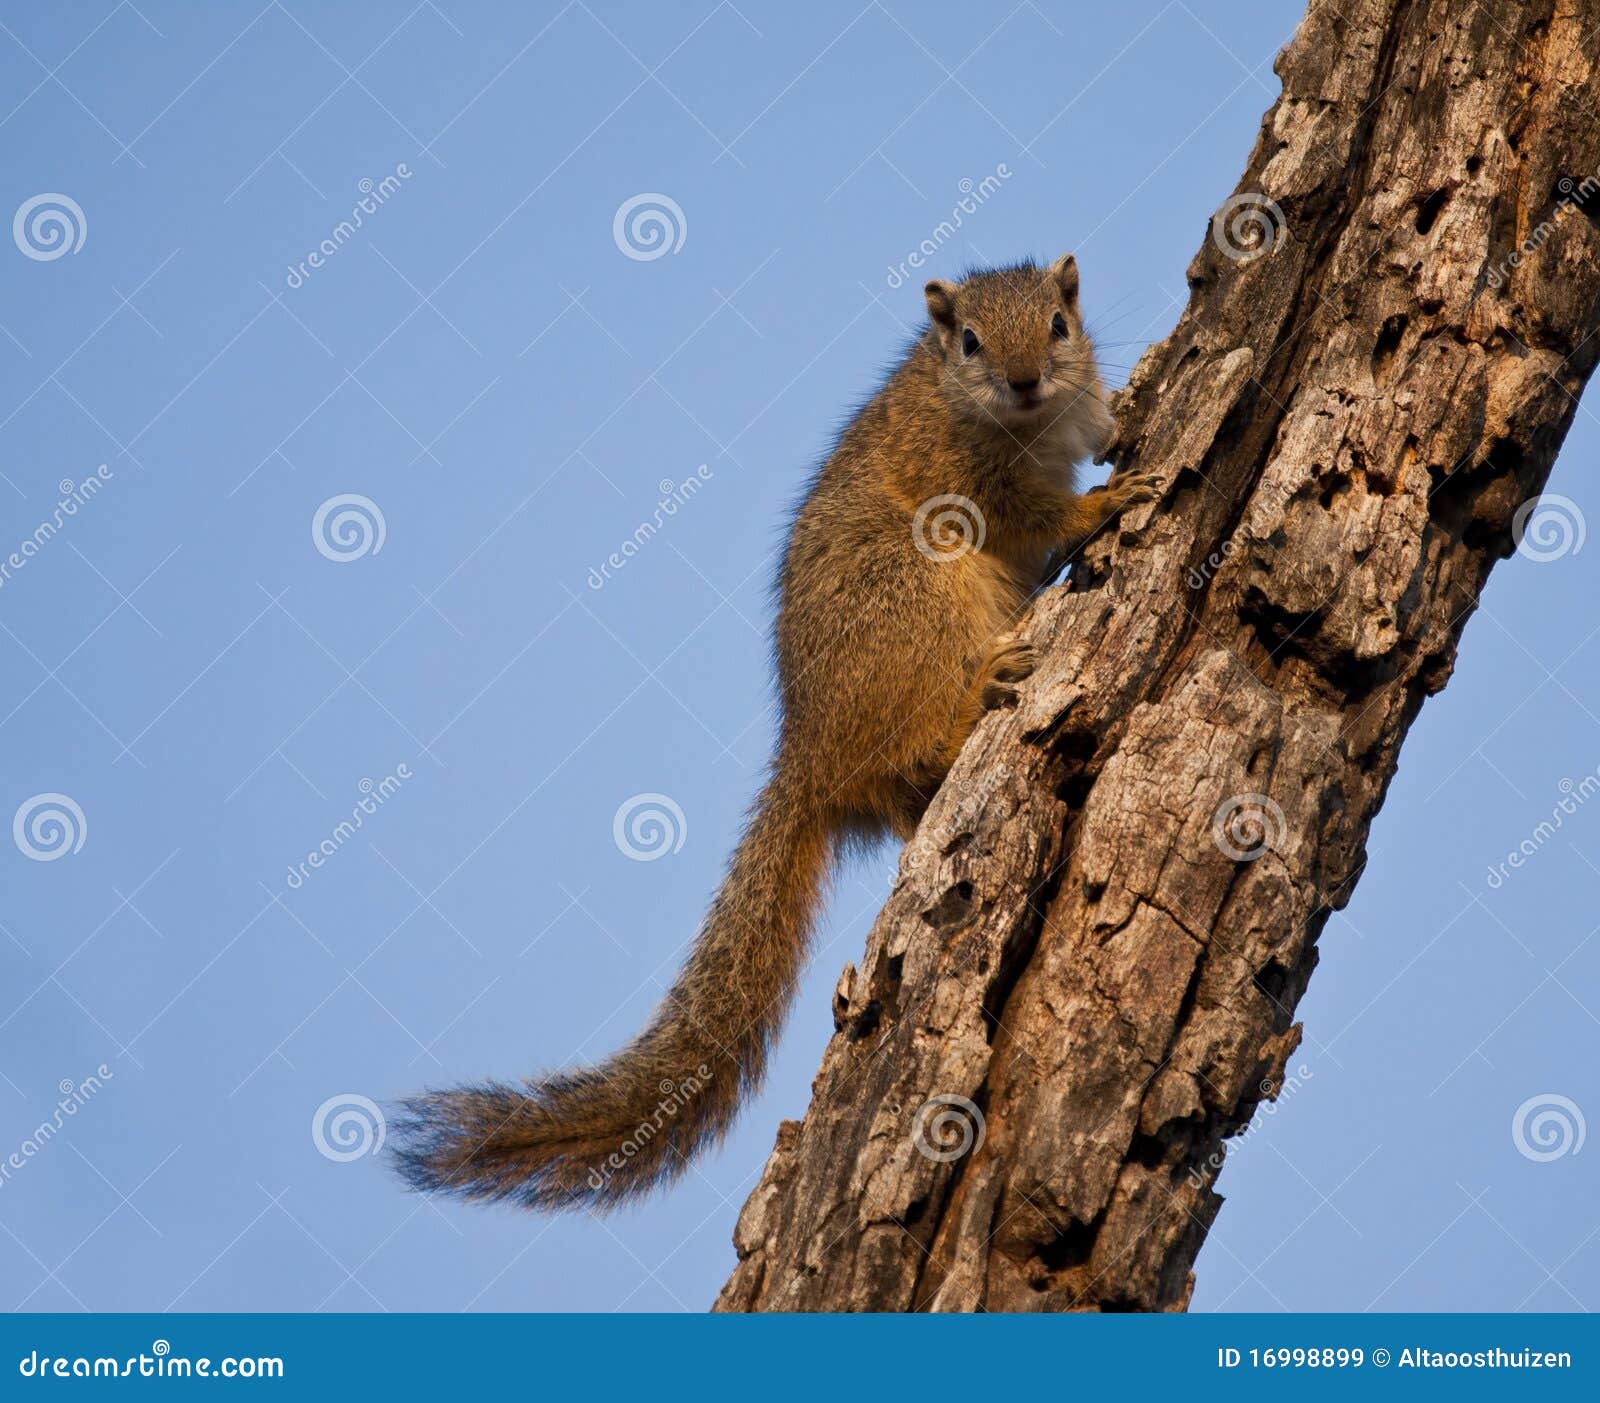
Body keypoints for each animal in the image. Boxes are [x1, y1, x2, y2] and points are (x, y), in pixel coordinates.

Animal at [392, 253, 1158, 1211]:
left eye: (1060, 322)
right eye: (969, 341)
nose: (1023, 382)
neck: (1020, 421)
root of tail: (811, 756)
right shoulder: (968, 475)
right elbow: (1035, 514)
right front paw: (1102, 505)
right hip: (911, 594)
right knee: (914, 741)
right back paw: (977, 690)